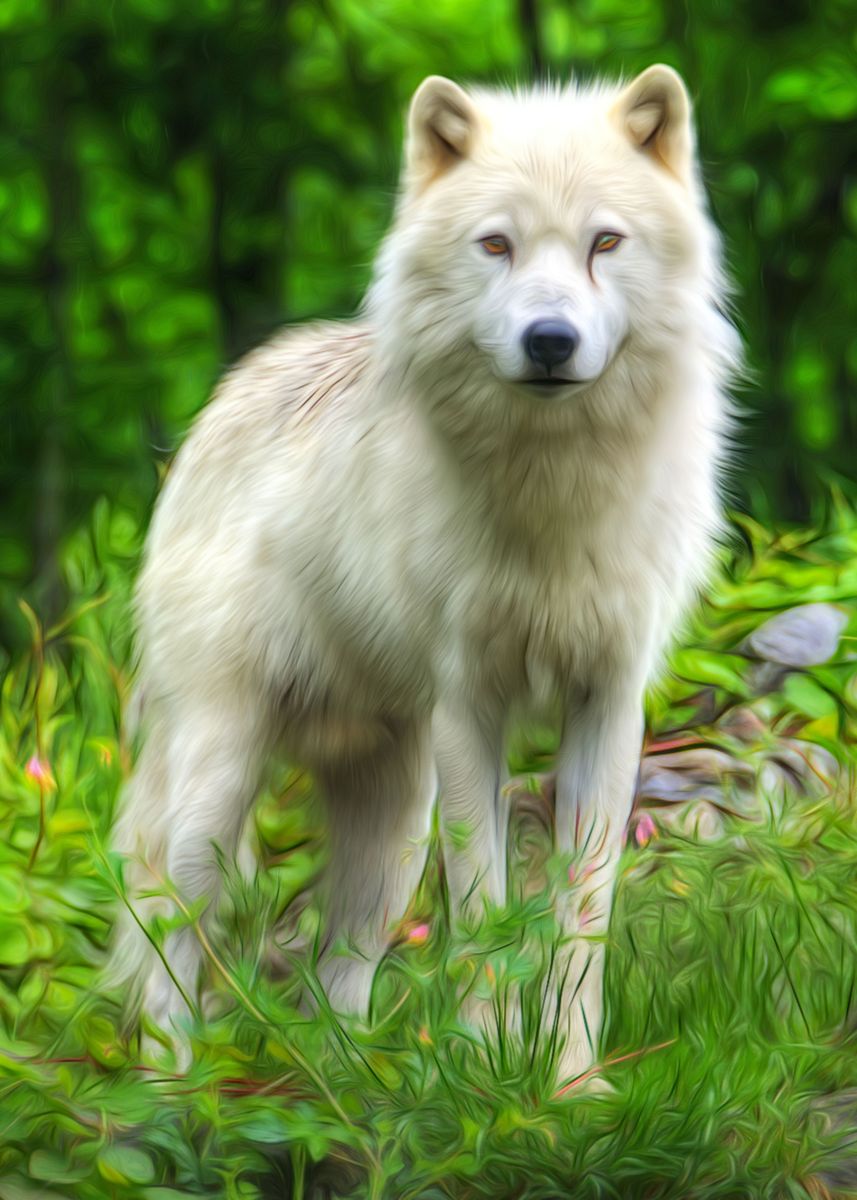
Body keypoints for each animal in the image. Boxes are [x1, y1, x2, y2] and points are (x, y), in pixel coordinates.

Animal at [111, 64, 738, 1082]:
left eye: (604, 242)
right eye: (497, 244)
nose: (550, 340)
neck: (552, 489)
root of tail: (230, 395)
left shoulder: (609, 704)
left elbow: (580, 914)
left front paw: (570, 1085)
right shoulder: (467, 705)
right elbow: (484, 909)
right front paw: (484, 1075)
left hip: (394, 823)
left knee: (339, 965)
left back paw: (348, 1083)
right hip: (220, 780)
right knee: (173, 925)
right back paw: (172, 1091)